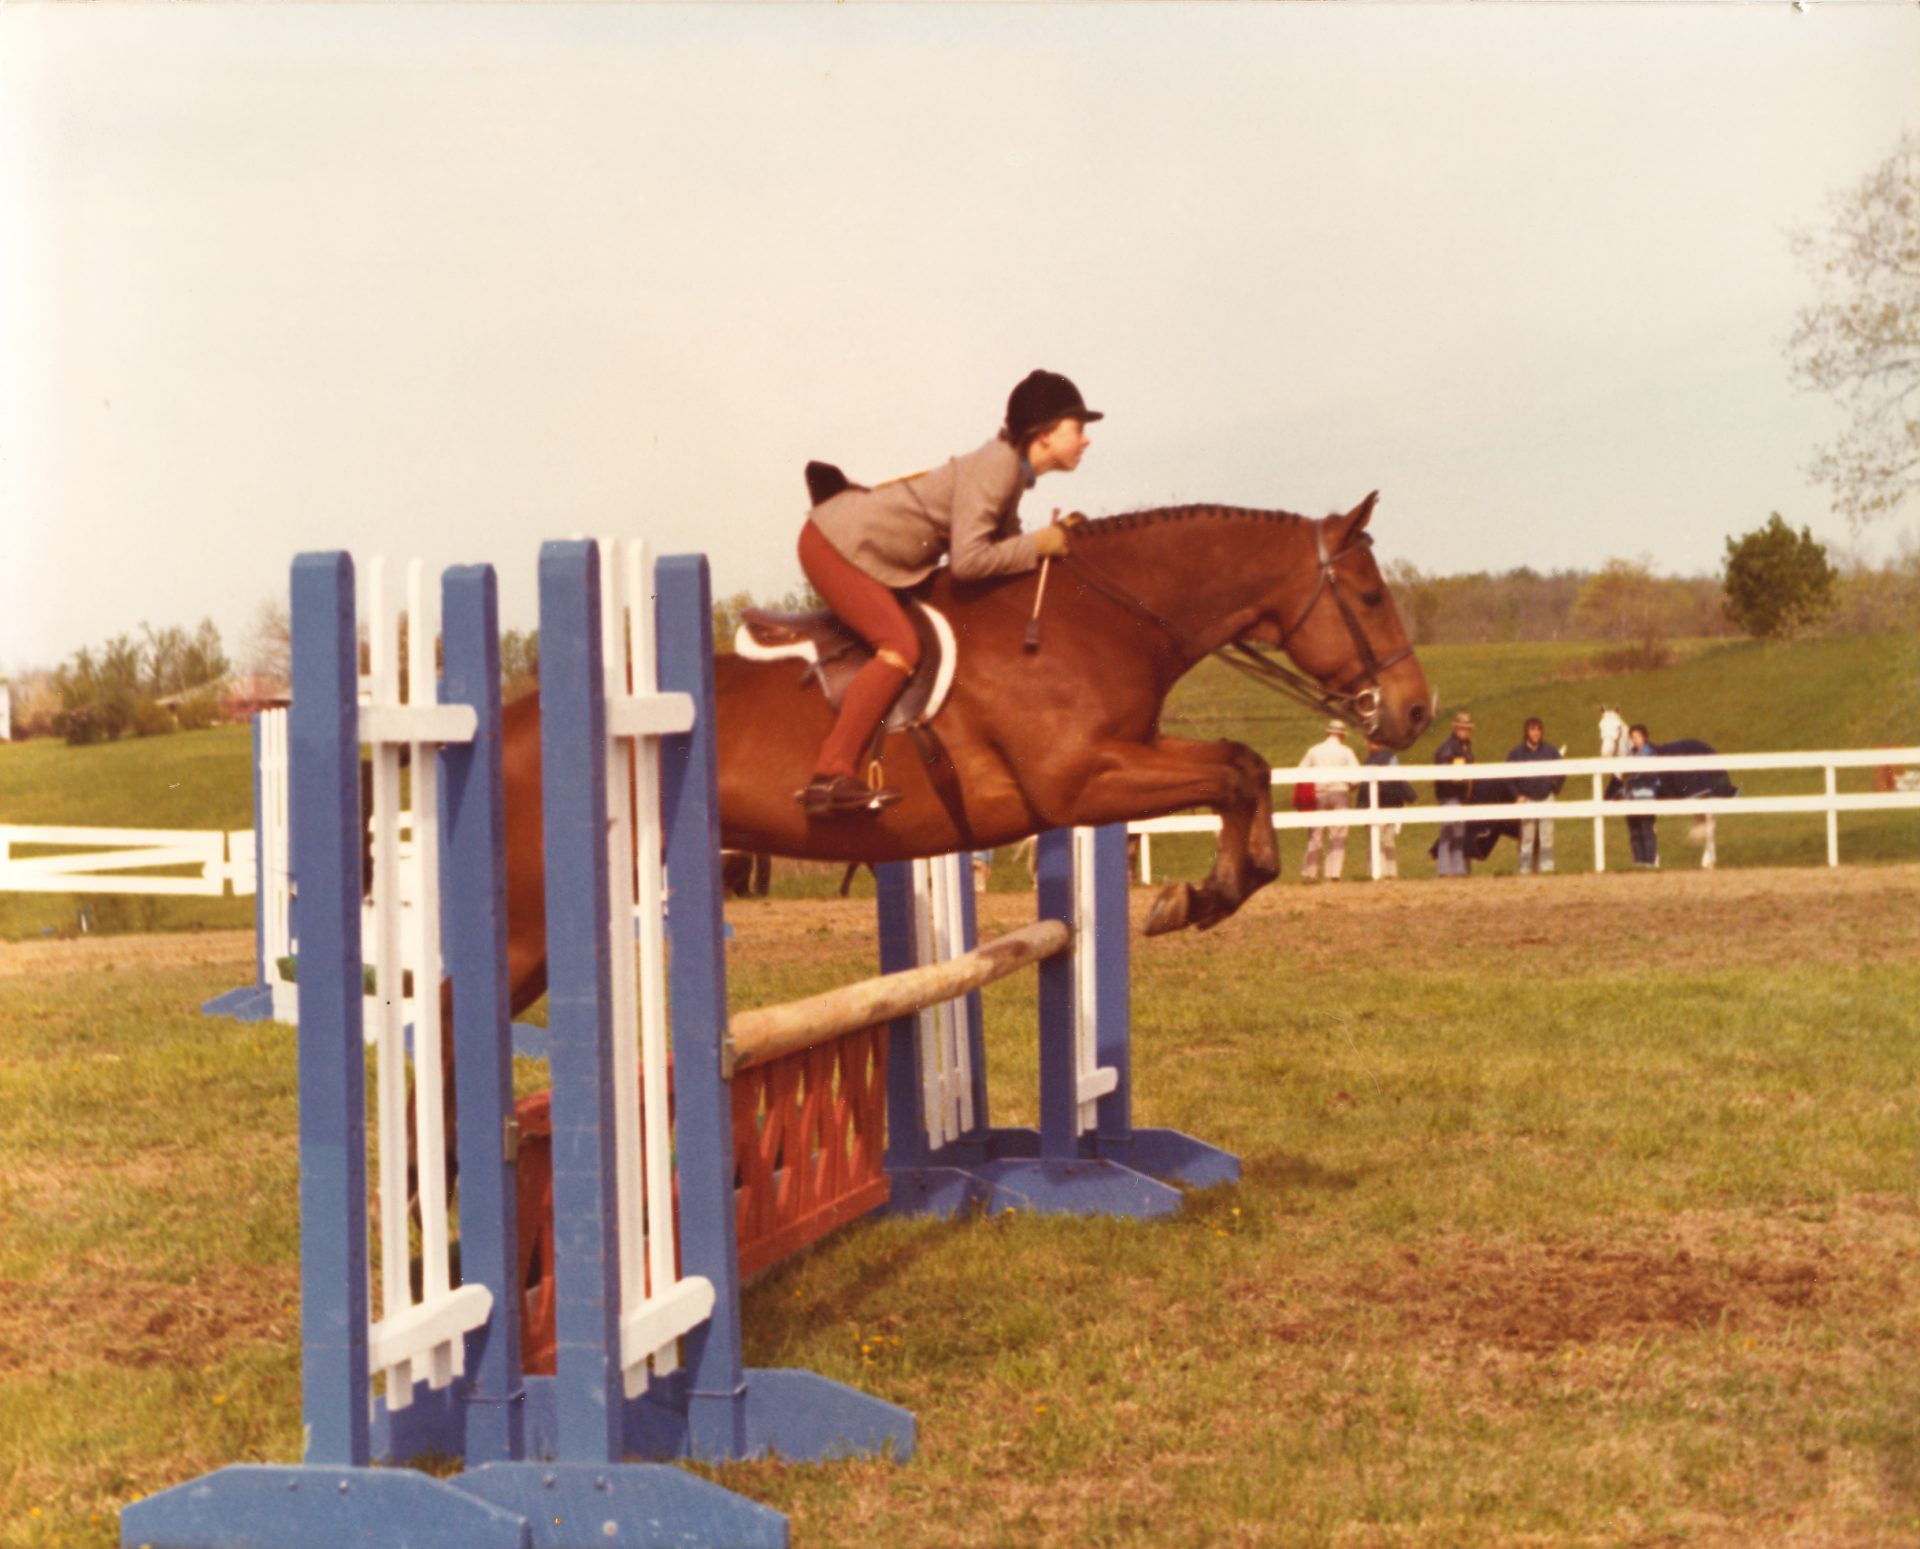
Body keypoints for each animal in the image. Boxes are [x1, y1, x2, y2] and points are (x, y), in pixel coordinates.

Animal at [1597, 706, 1737, 868]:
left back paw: (1707, 861)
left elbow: (1650, 829)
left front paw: (1653, 862)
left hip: (1708, 796)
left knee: (1710, 824)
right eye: (1600, 726)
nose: (1606, 753)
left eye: (1618, 727)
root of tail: (1709, 749)